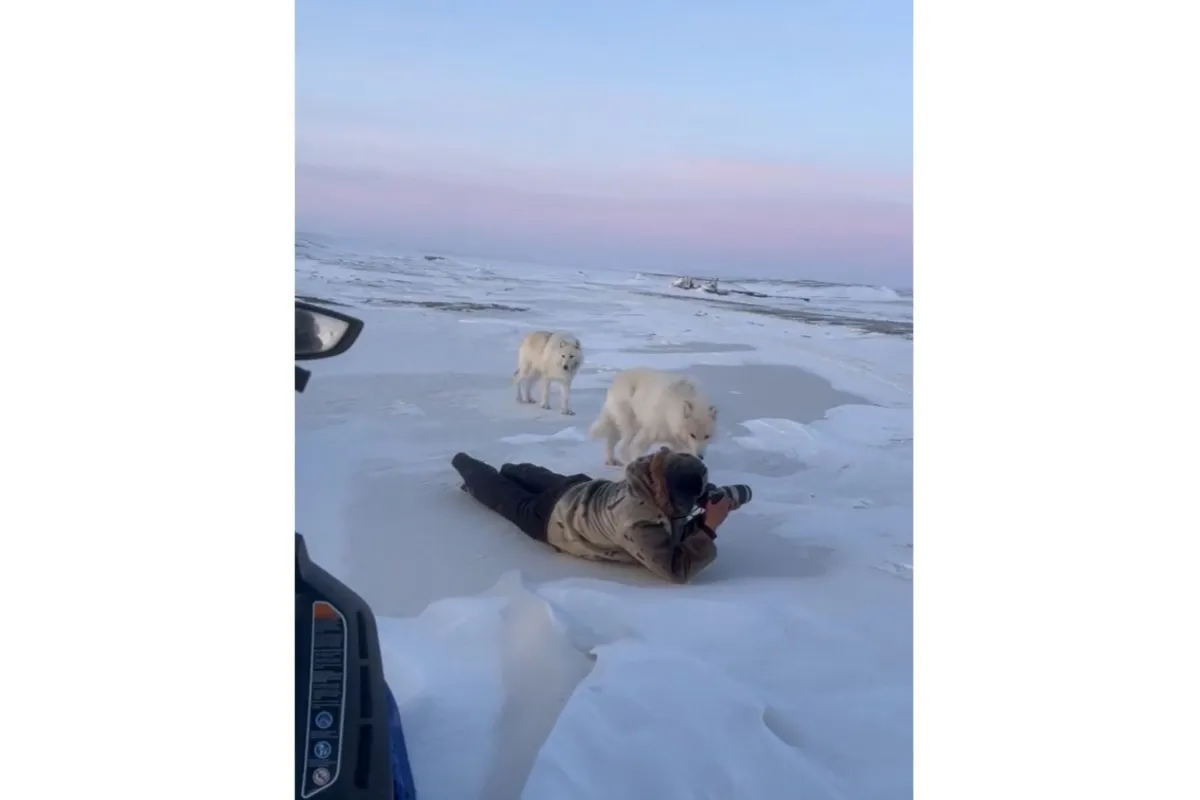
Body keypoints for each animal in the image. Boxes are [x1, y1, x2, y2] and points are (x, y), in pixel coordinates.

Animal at [589, 368, 719, 466]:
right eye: (692, 435)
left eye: (707, 436)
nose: (700, 456)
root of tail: (616, 380)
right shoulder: (646, 435)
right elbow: (636, 452)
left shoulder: (676, 444)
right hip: (631, 428)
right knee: (622, 447)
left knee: (611, 440)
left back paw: (611, 461)